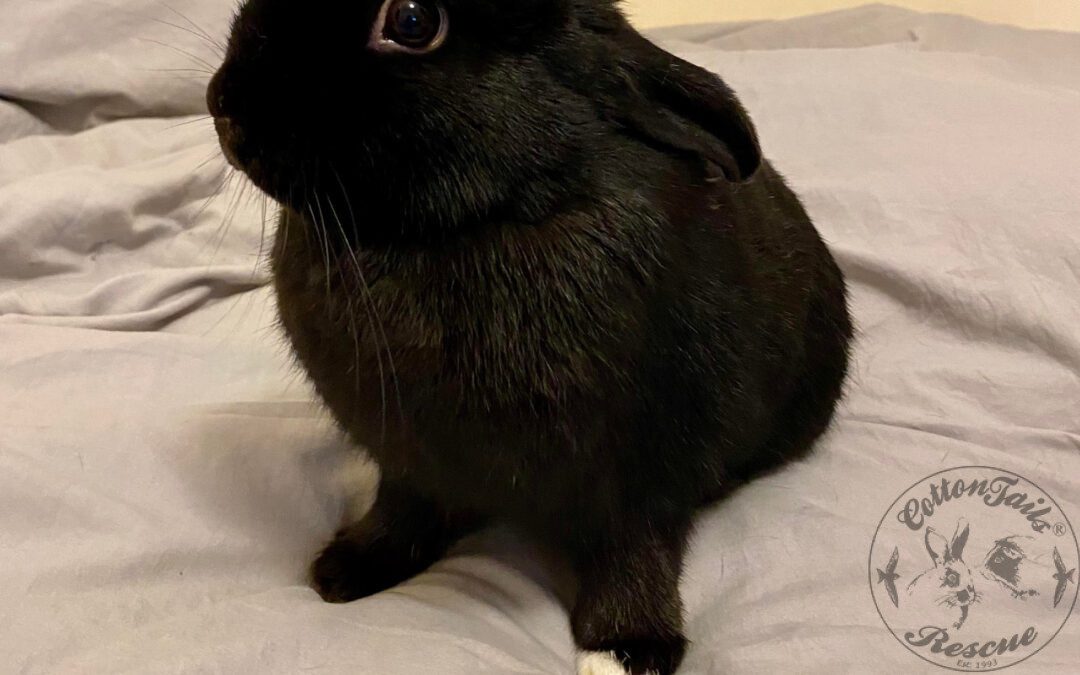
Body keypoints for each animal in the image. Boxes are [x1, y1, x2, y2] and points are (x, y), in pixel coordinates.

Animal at [206, 1, 852, 672]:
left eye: (411, 22)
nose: (221, 101)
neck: (466, 229)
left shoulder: (648, 470)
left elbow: (636, 552)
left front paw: (627, 650)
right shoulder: (410, 462)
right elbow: (401, 513)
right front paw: (345, 569)